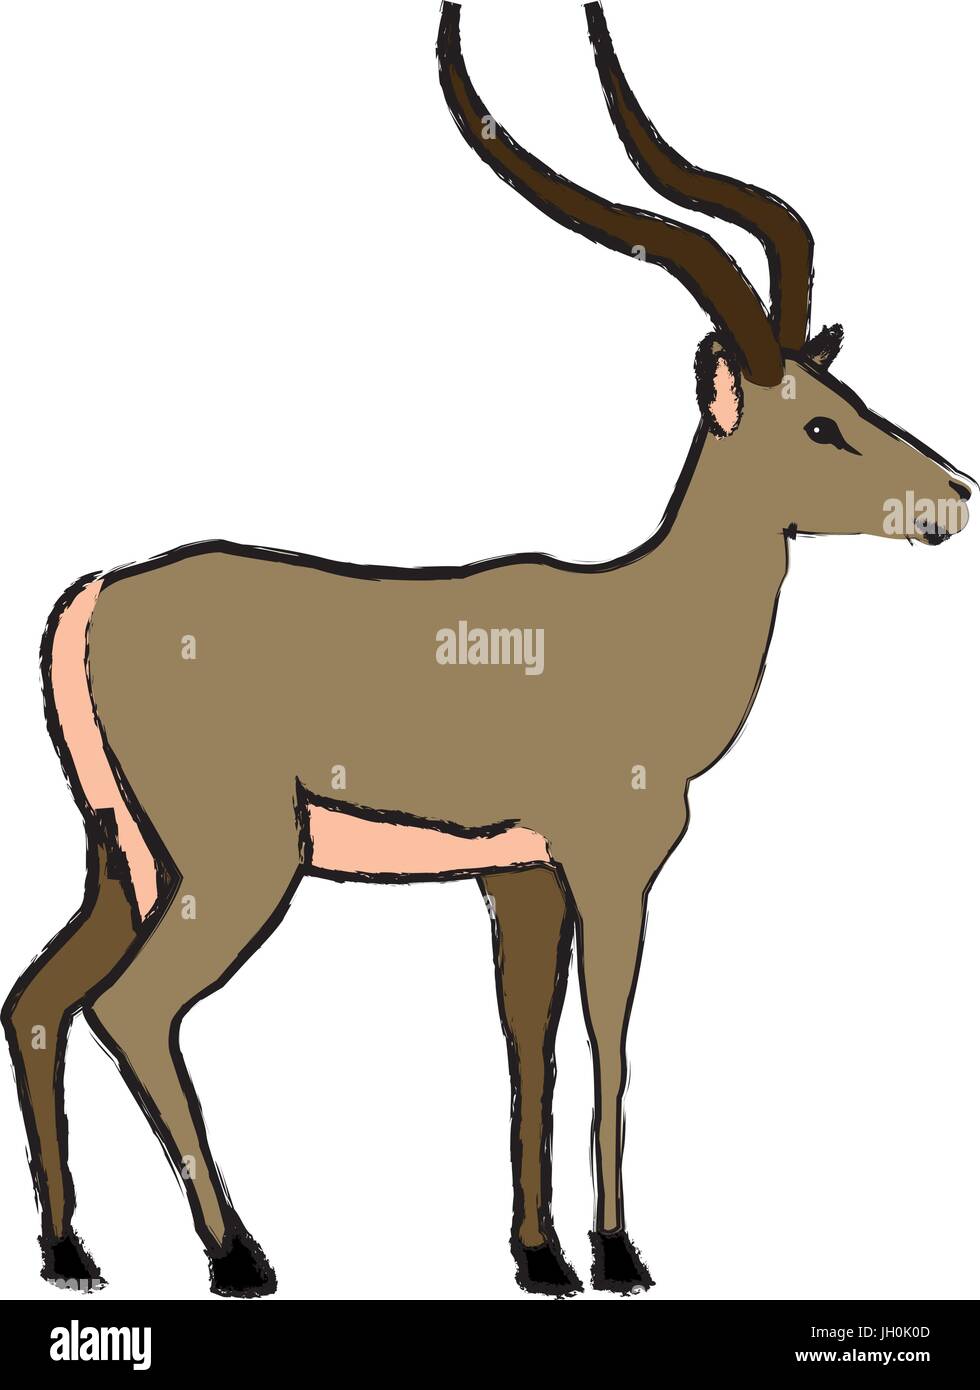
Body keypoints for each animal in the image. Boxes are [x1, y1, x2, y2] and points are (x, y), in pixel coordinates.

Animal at [4, 1, 972, 1299]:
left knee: (38, 998)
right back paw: (240, 1255)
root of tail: (94, 595)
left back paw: (70, 1251)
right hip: (237, 863)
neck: (639, 623)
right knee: (134, 1009)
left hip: (123, 857)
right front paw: (617, 1251)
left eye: (849, 395)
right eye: (819, 424)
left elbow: (528, 1046)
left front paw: (539, 1255)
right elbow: (608, 1037)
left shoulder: (516, 875)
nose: (952, 496)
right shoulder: (610, 864)